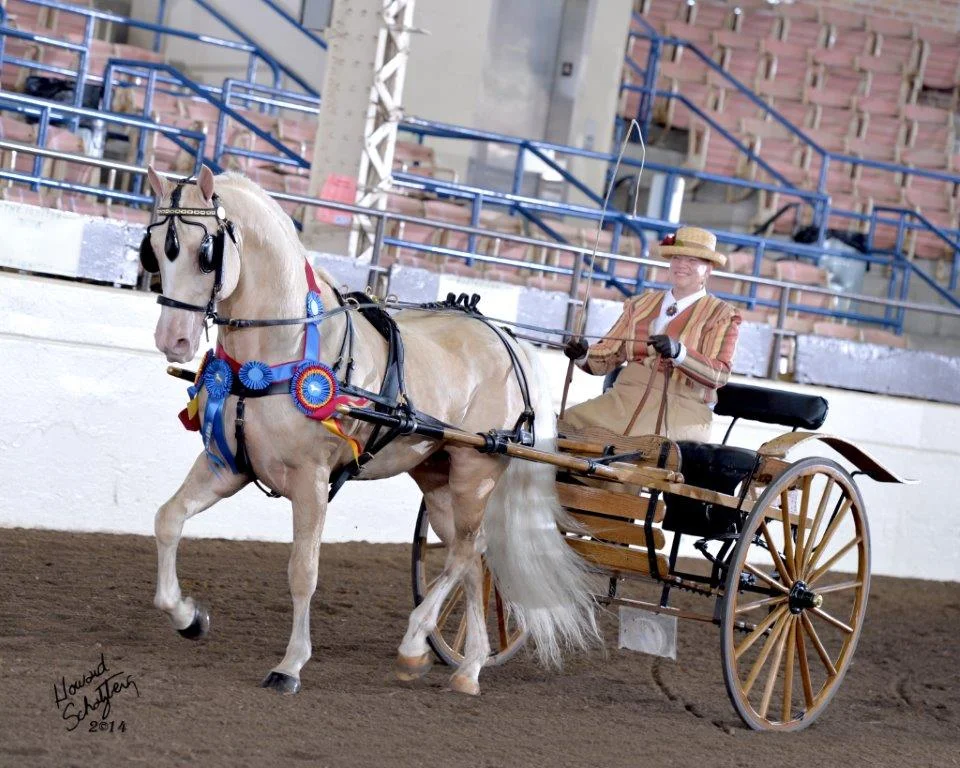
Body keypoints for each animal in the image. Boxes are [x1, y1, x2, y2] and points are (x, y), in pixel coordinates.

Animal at [143, 164, 598, 696]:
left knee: (468, 550)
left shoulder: (311, 478)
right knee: (473, 555)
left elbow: (303, 571)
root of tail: (507, 339)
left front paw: (290, 665)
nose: (172, 339)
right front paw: (187, 617)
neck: (287, 345)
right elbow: (168, 519)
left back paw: (417, 642)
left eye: (205, 252)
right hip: (438, 477)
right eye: (154, 250)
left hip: (475, 469)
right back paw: (467, 666)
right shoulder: (226, 465)